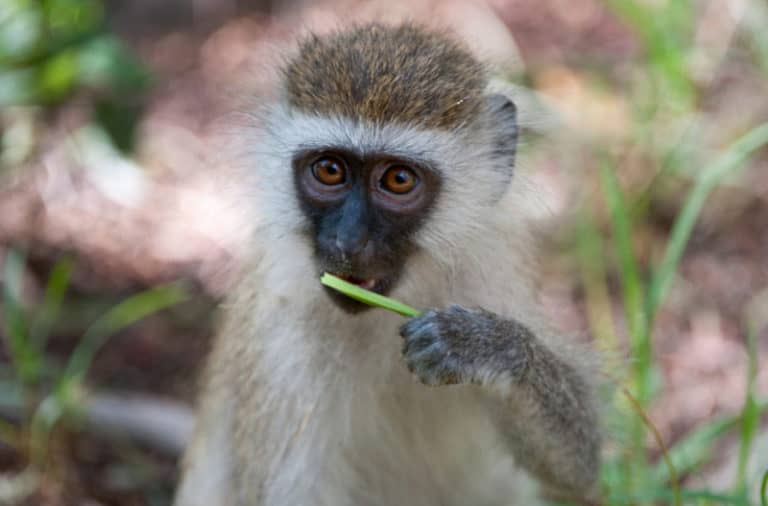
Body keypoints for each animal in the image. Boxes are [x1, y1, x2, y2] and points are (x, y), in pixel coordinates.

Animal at [174, 23, 601, 506]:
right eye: (329, 171)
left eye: (398, 179)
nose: (348, 240)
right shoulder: (280, 342)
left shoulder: (491, 277)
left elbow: (578, 463)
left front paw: (486, 346)